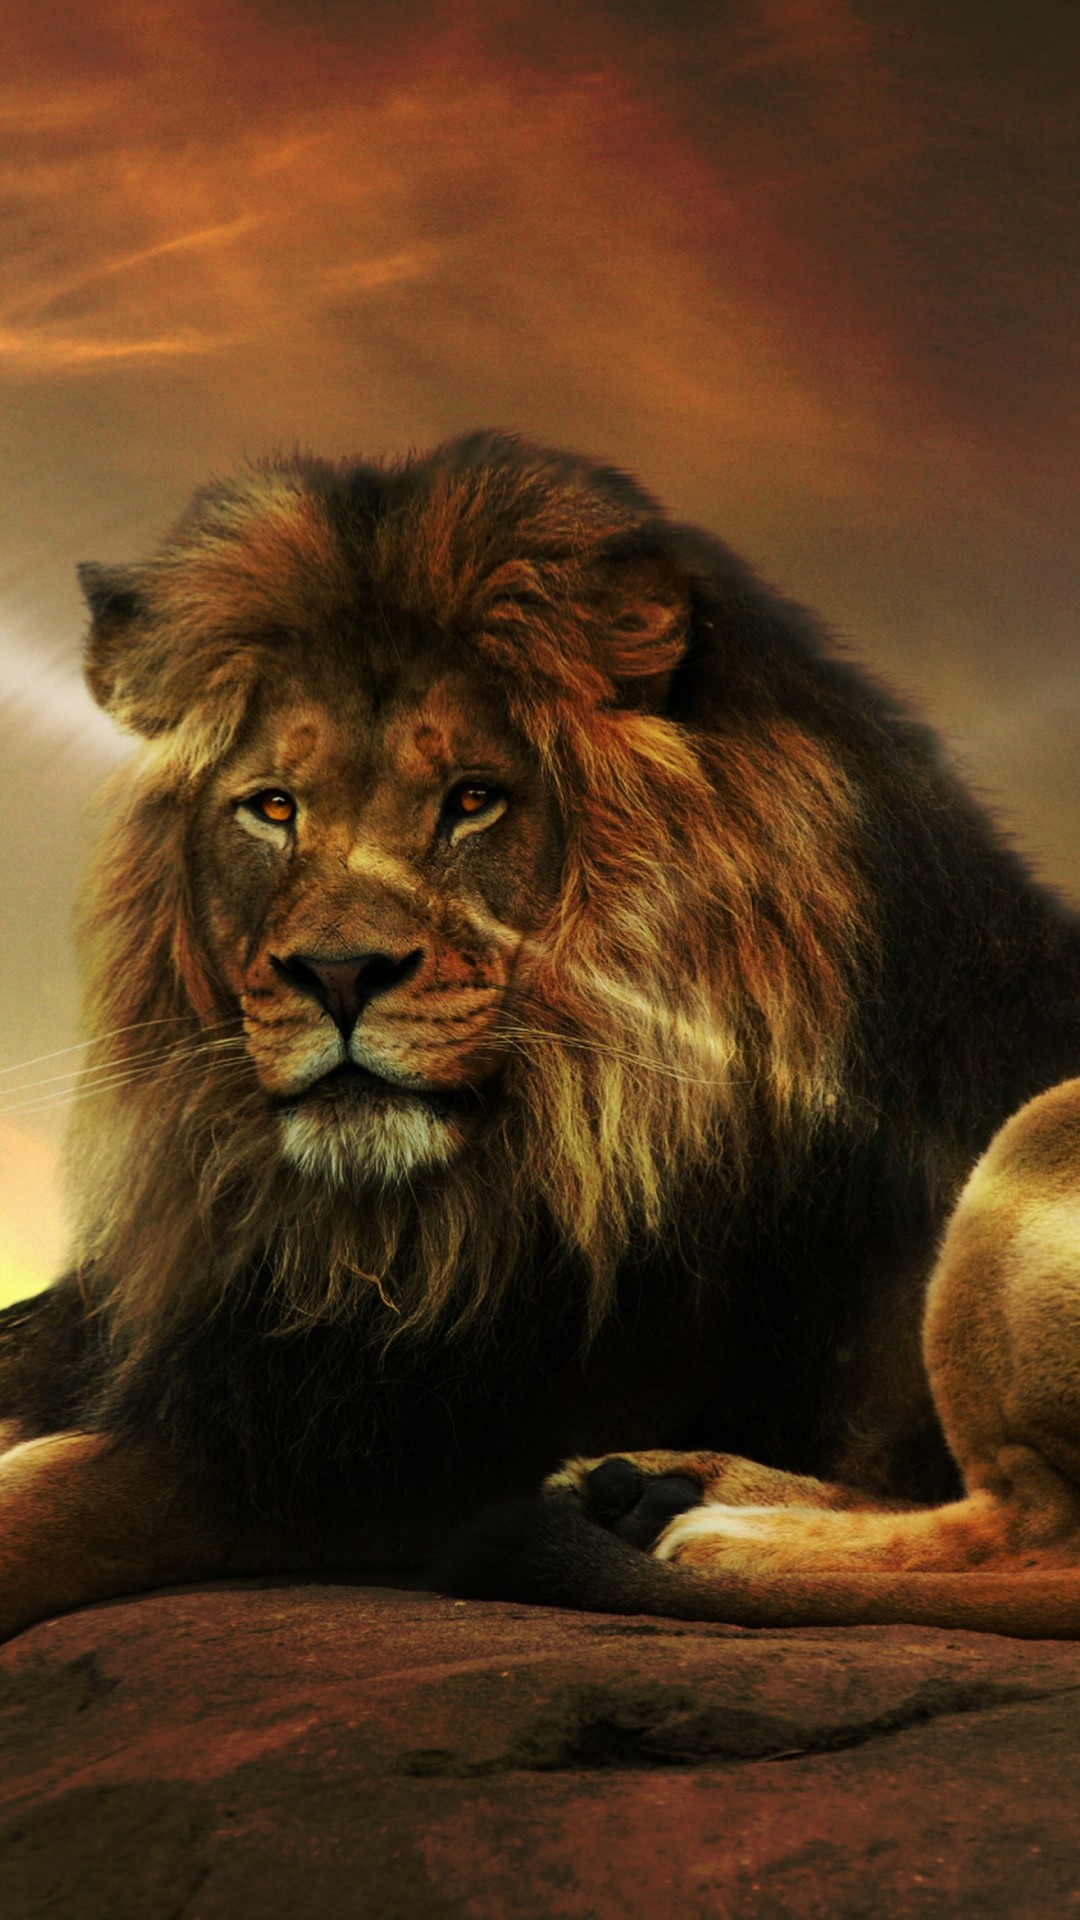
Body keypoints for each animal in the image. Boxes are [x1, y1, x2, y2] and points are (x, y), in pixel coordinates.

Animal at [1, 430, 1079, 1640]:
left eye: (474, 800)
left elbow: (59, 1493)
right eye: (273, 807)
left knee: (1036, 1532)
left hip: (1047, 1122)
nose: (337, 973)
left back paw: (713, 1533)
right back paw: (653, 1492)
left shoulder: (408, 1444)